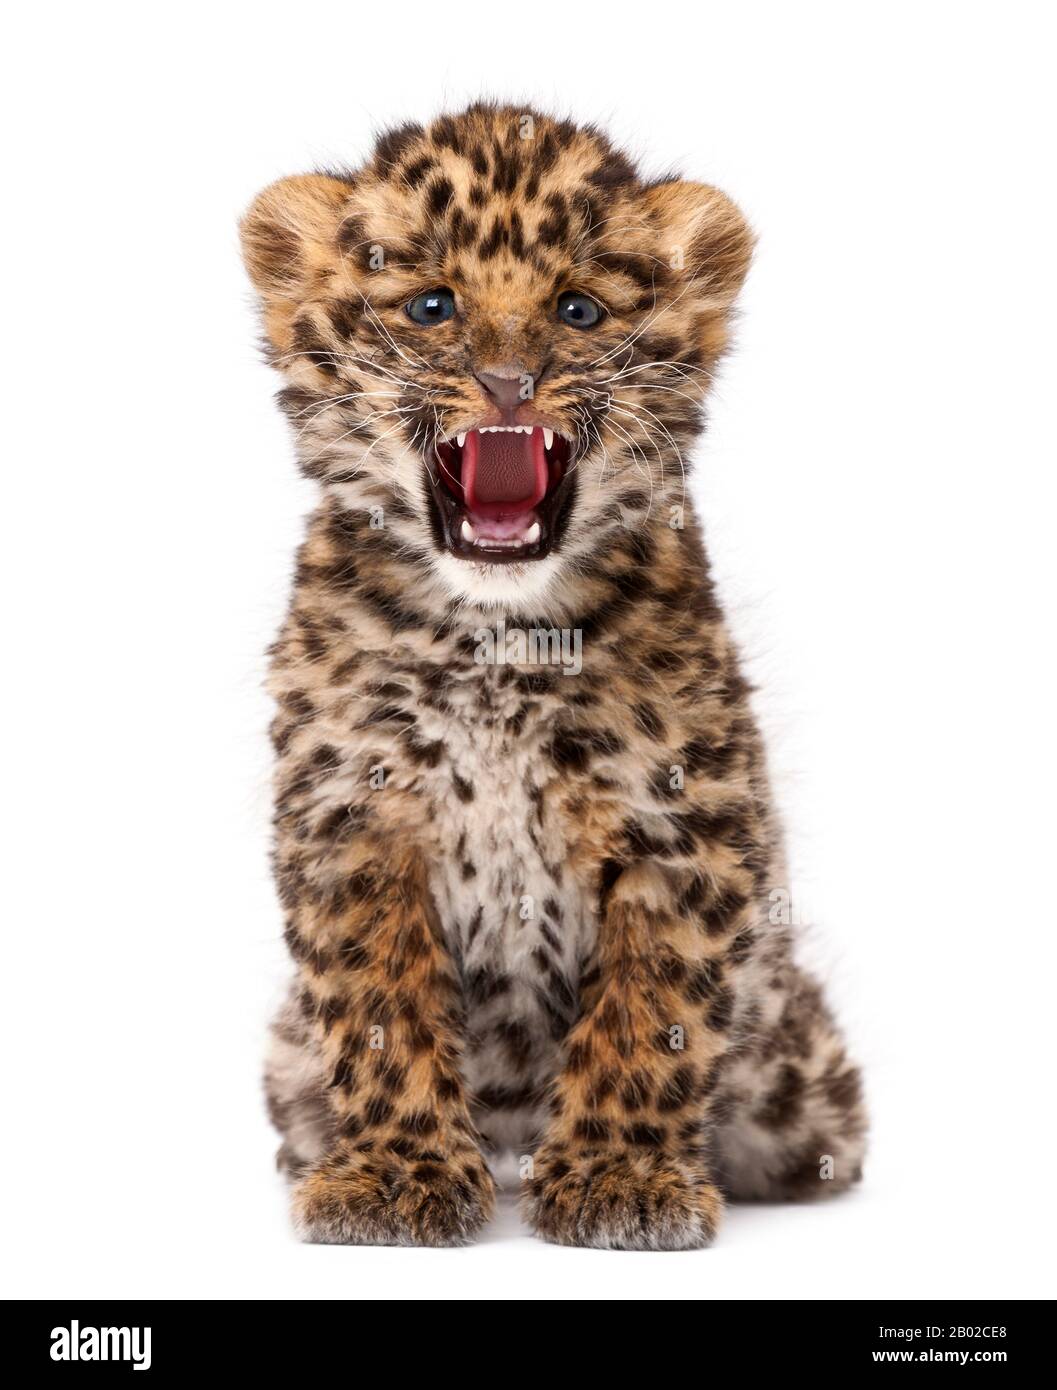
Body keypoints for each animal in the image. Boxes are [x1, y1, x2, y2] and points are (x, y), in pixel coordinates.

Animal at [240, 102, 867, 1250]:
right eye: (432, 305)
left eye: (577, 309)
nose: (507, 384)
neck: (496, 647)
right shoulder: (352, 818)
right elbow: (380, 1007)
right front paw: (393, 1174)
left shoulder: (680, 825)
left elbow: (651, 1013)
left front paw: (622, 1177)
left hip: (798, 1088)